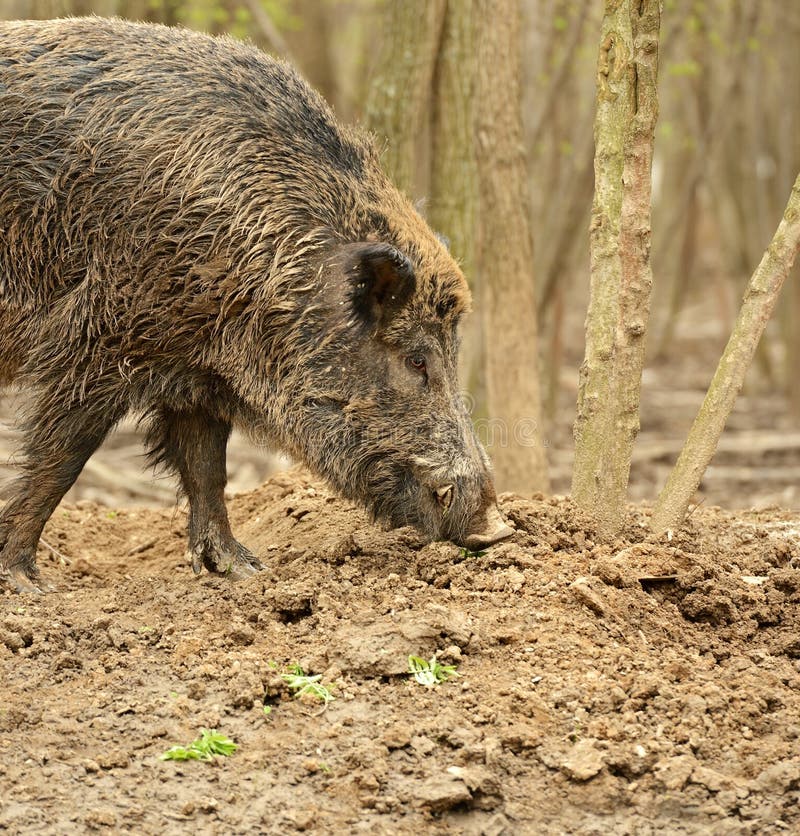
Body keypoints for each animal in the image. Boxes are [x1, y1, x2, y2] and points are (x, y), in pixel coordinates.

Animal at [0, 17, 512, 593]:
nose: (497, 528)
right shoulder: (97, 341)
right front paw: (27, 582)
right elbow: (63, 457)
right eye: (416, 359)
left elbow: (208, 466)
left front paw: (242, 571)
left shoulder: (193, 370)